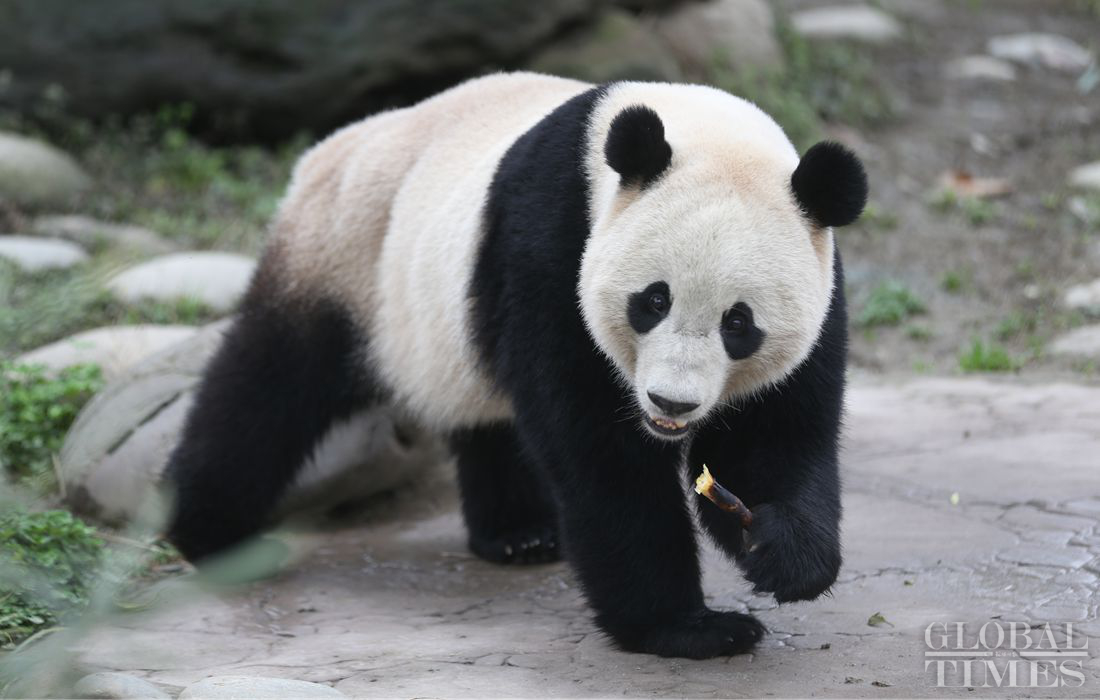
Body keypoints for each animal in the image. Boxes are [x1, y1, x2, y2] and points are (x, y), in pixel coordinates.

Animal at [164, 72, 866, 660]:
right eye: (652, 301)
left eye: (738, 324)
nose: (671, 404)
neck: (696, 127)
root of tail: (325, 150)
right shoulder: (551, 247)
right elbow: (598, 451)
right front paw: (687, 628)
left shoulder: (821, 290)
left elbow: (770, 438)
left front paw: (783, 553)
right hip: (345, 258)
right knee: (268, 388)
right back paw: (208, 531)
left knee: (483, 416)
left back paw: (519, 535)